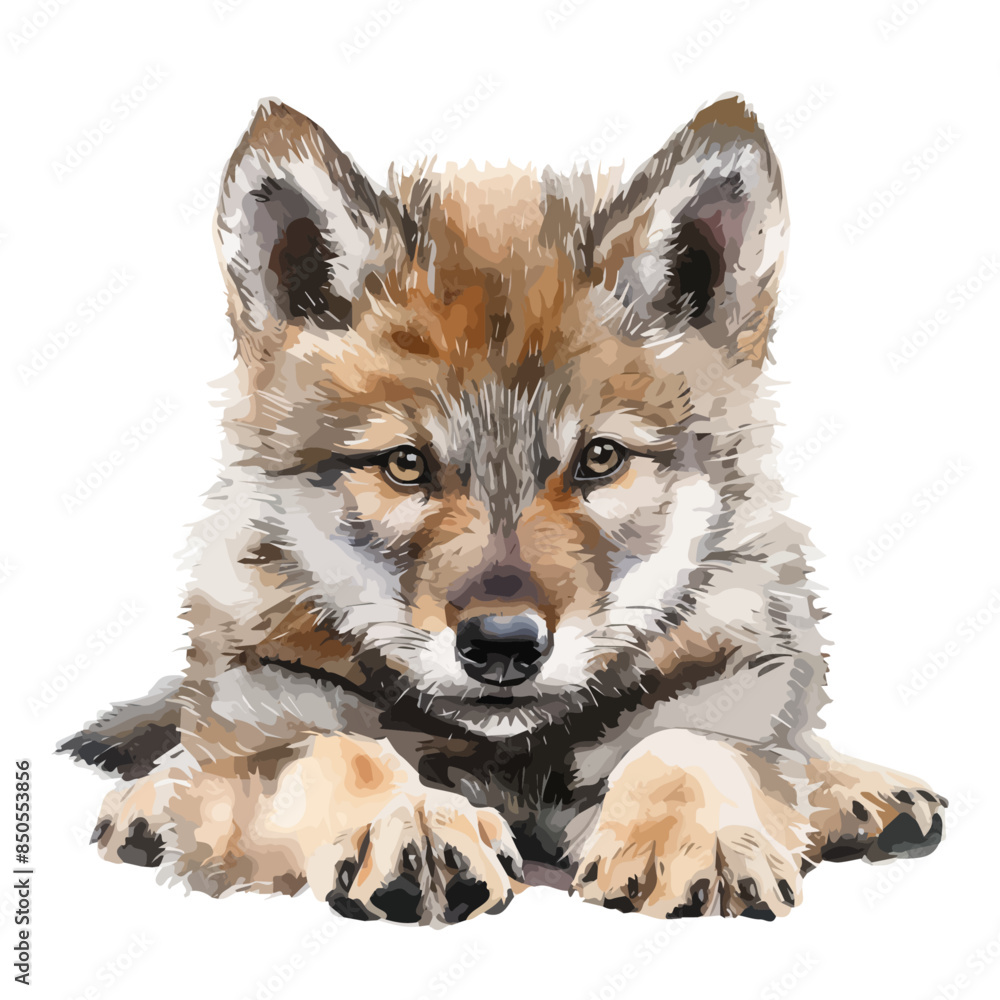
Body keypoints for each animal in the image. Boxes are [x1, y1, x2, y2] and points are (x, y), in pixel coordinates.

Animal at [60, 94, 946, 924]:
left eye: (600, 459)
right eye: (406, 465)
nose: (503, 646)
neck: (511, 764)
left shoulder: (735, 685)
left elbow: (689, 748)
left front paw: (702, 842)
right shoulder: (262, 714)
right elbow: (341, 752)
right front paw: (412, 819)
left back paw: (863, 792)